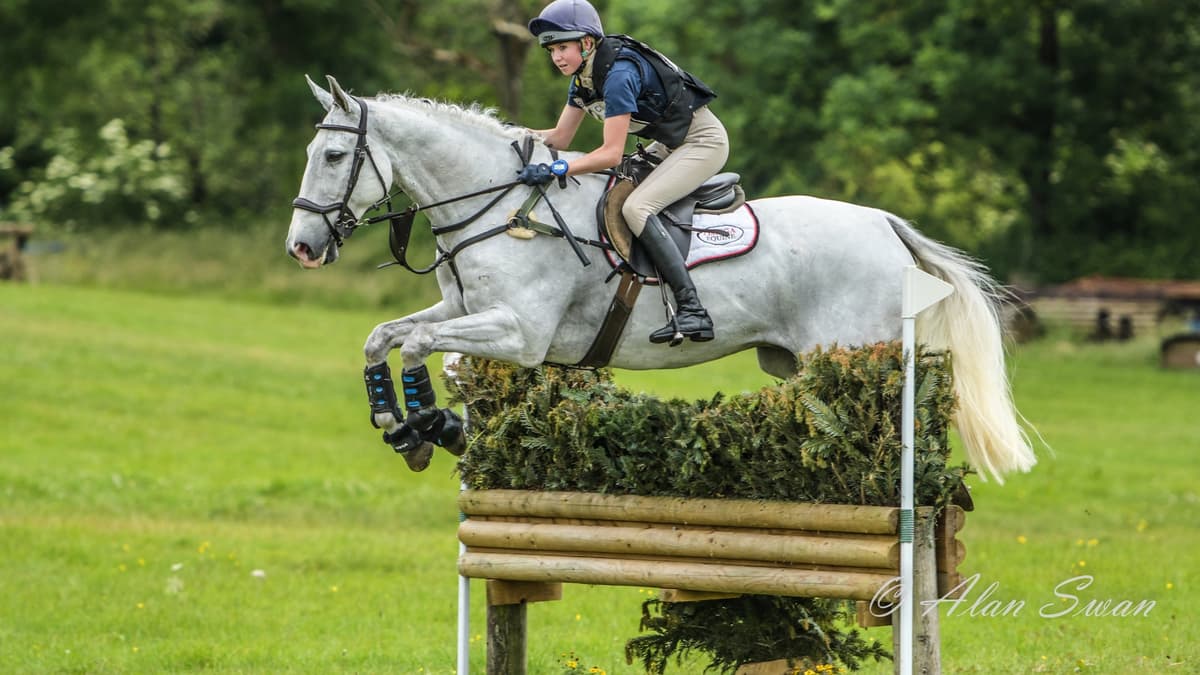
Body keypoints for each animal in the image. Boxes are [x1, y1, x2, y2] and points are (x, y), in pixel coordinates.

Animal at [286, 75, 1036, 482]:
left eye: (333, 156)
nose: (301, 247)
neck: (502, 207)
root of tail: (885, 224)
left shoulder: (520, 334)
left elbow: (415, 345)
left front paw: (424, 424)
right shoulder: (463, 313)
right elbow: (384, 336)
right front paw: (401, 422)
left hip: (854, 354)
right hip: (800, 362)